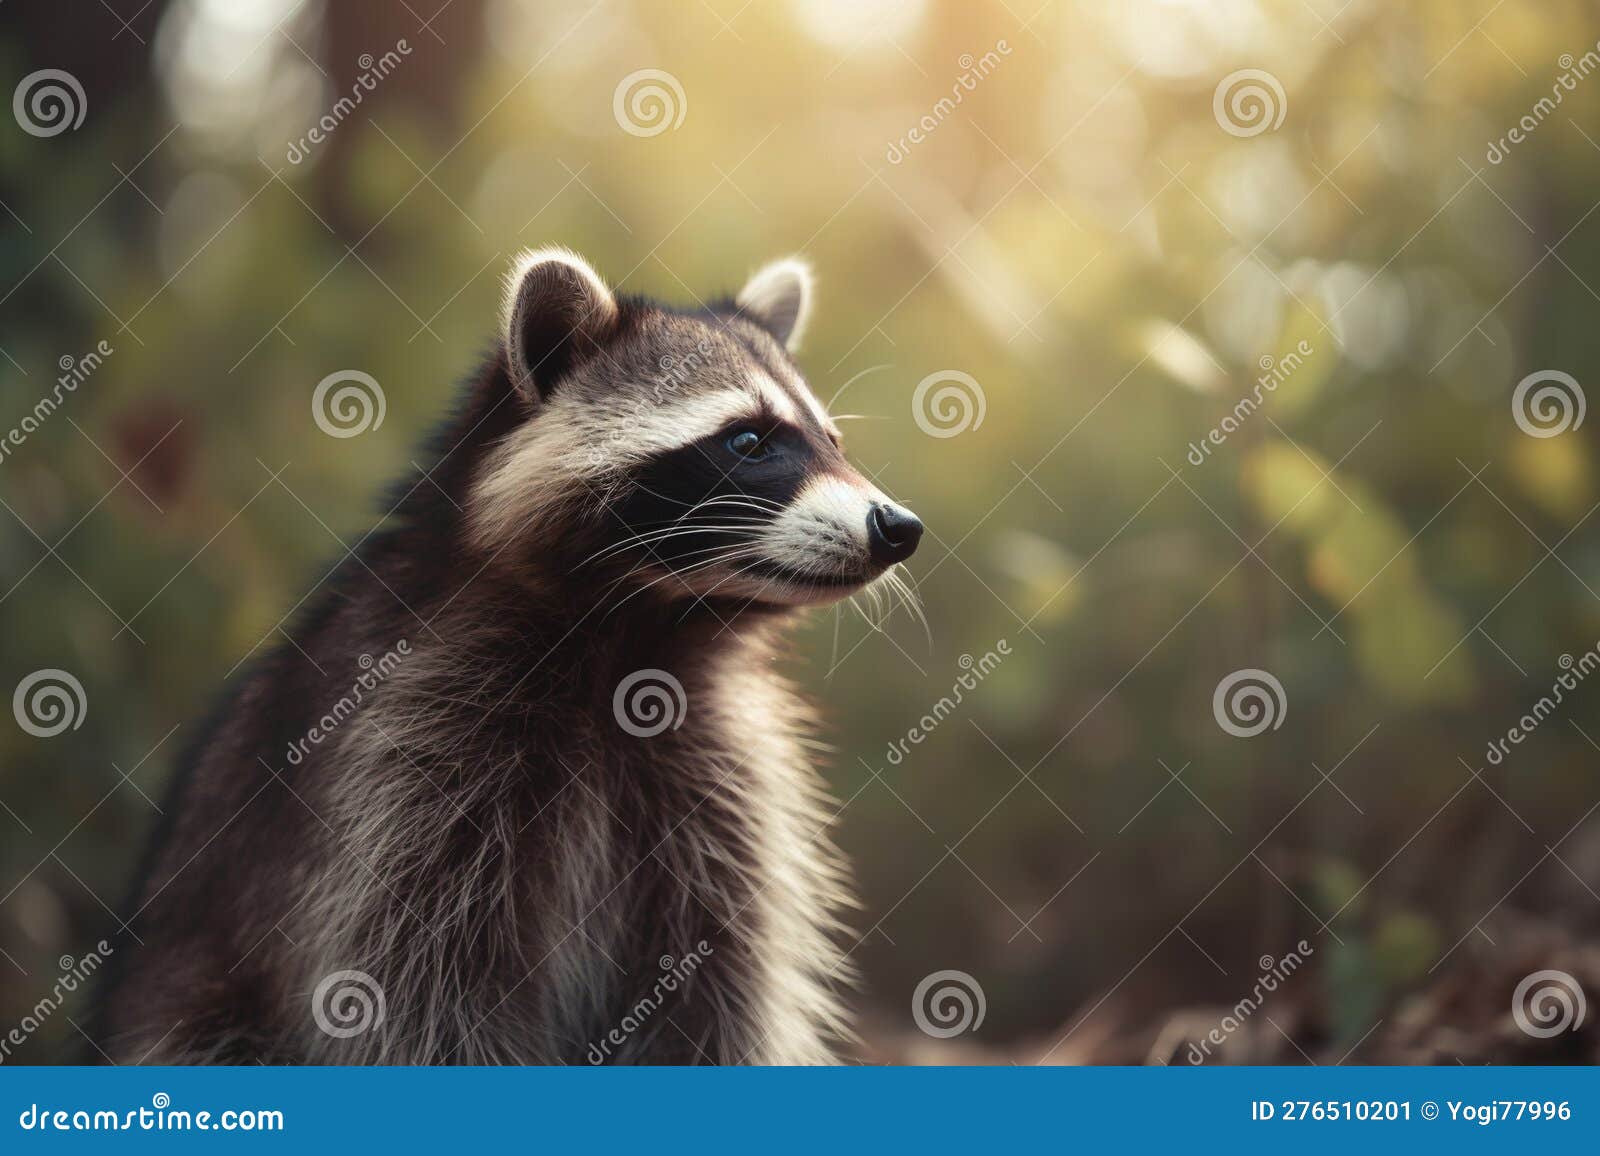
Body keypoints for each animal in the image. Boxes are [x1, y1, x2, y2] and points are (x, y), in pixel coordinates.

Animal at [92, 249, 923, 1065]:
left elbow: (714, 993)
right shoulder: (403, 762)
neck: (640, 635)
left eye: (832, 443)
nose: (899, 526)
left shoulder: (720, 784)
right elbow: (419, 993)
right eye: (748, 440)